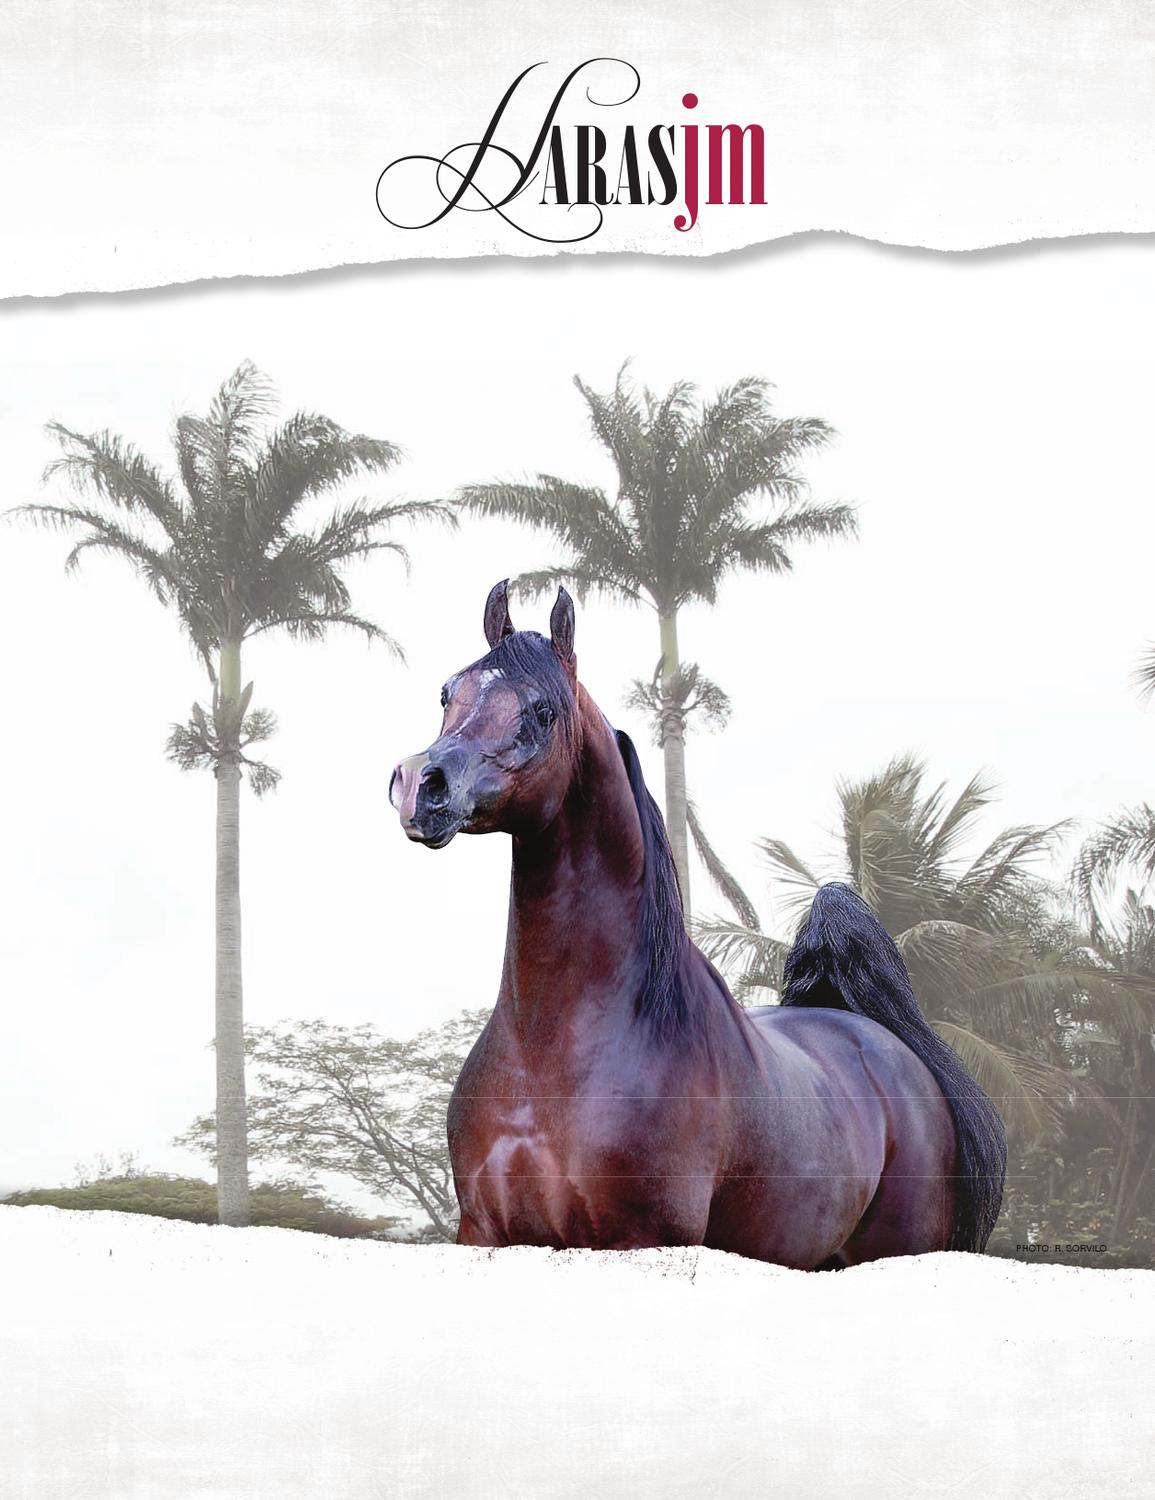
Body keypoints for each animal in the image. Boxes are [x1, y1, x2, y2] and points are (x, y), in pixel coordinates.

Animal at [389, 580, 1007, 1267]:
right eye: (449, 692)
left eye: (543, 711)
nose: (421, 785)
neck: (550, 1052)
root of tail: (886, 1040)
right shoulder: (486, 1234)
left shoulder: (642, 1239)